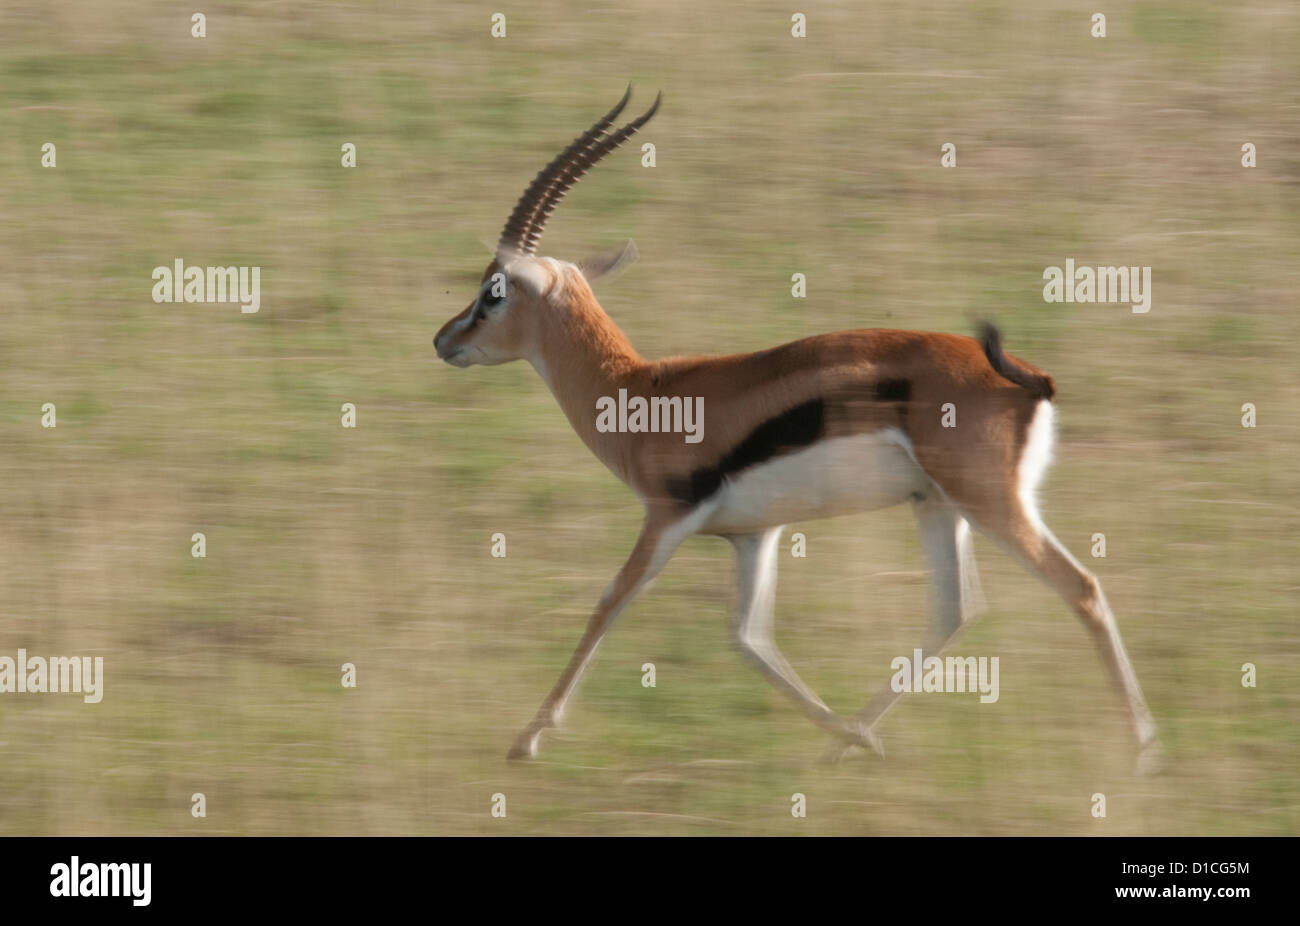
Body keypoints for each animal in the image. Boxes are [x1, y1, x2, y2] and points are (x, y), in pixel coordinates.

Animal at [434, 88, 1162, 772]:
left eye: (493, 292)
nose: (444, 340)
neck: (642, 390)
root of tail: (1028, 377)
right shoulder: (756, 534)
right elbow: (748, 640)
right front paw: (854, 739)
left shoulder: (666, 518)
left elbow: (609, 604)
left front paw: (526, 741)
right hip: (939, 505)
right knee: (954, 610)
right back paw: (850, 746)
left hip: (990, 503)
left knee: (1081, 589)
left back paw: (1141, 750)